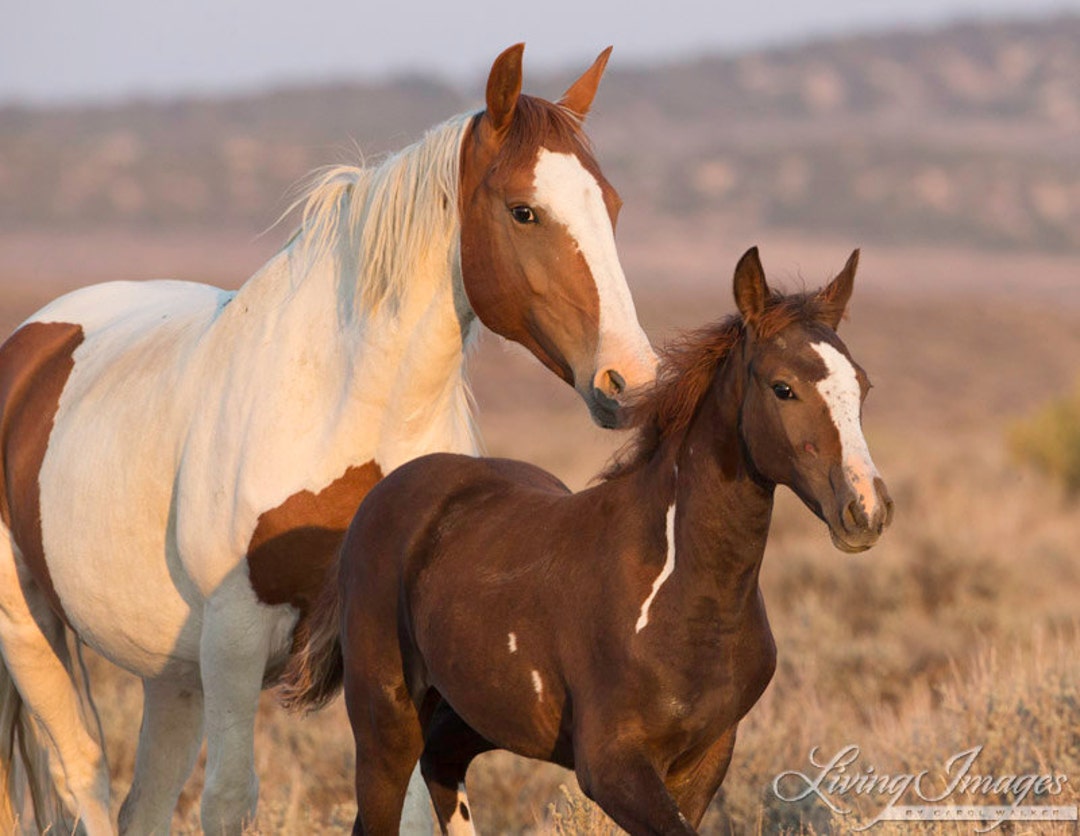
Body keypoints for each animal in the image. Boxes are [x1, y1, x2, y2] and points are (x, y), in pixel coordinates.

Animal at [0, 43, 656, 834]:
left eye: (611, 206)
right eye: (524, 211)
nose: (633, 379)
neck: (344, 421)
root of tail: (32, 342)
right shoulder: (235, 635)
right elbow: (228, 799)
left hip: (171, 675)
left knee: (144, 801)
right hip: (31, 628)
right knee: (84, 774)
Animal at [281, 246, 894, 834]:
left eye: (862, 385)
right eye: (783, 388)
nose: (865, 509)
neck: (679, 592)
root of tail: (376, 502)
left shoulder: (706, 757)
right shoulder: (611, 766)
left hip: (472, 715)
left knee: (438, 768)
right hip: (385, 722)